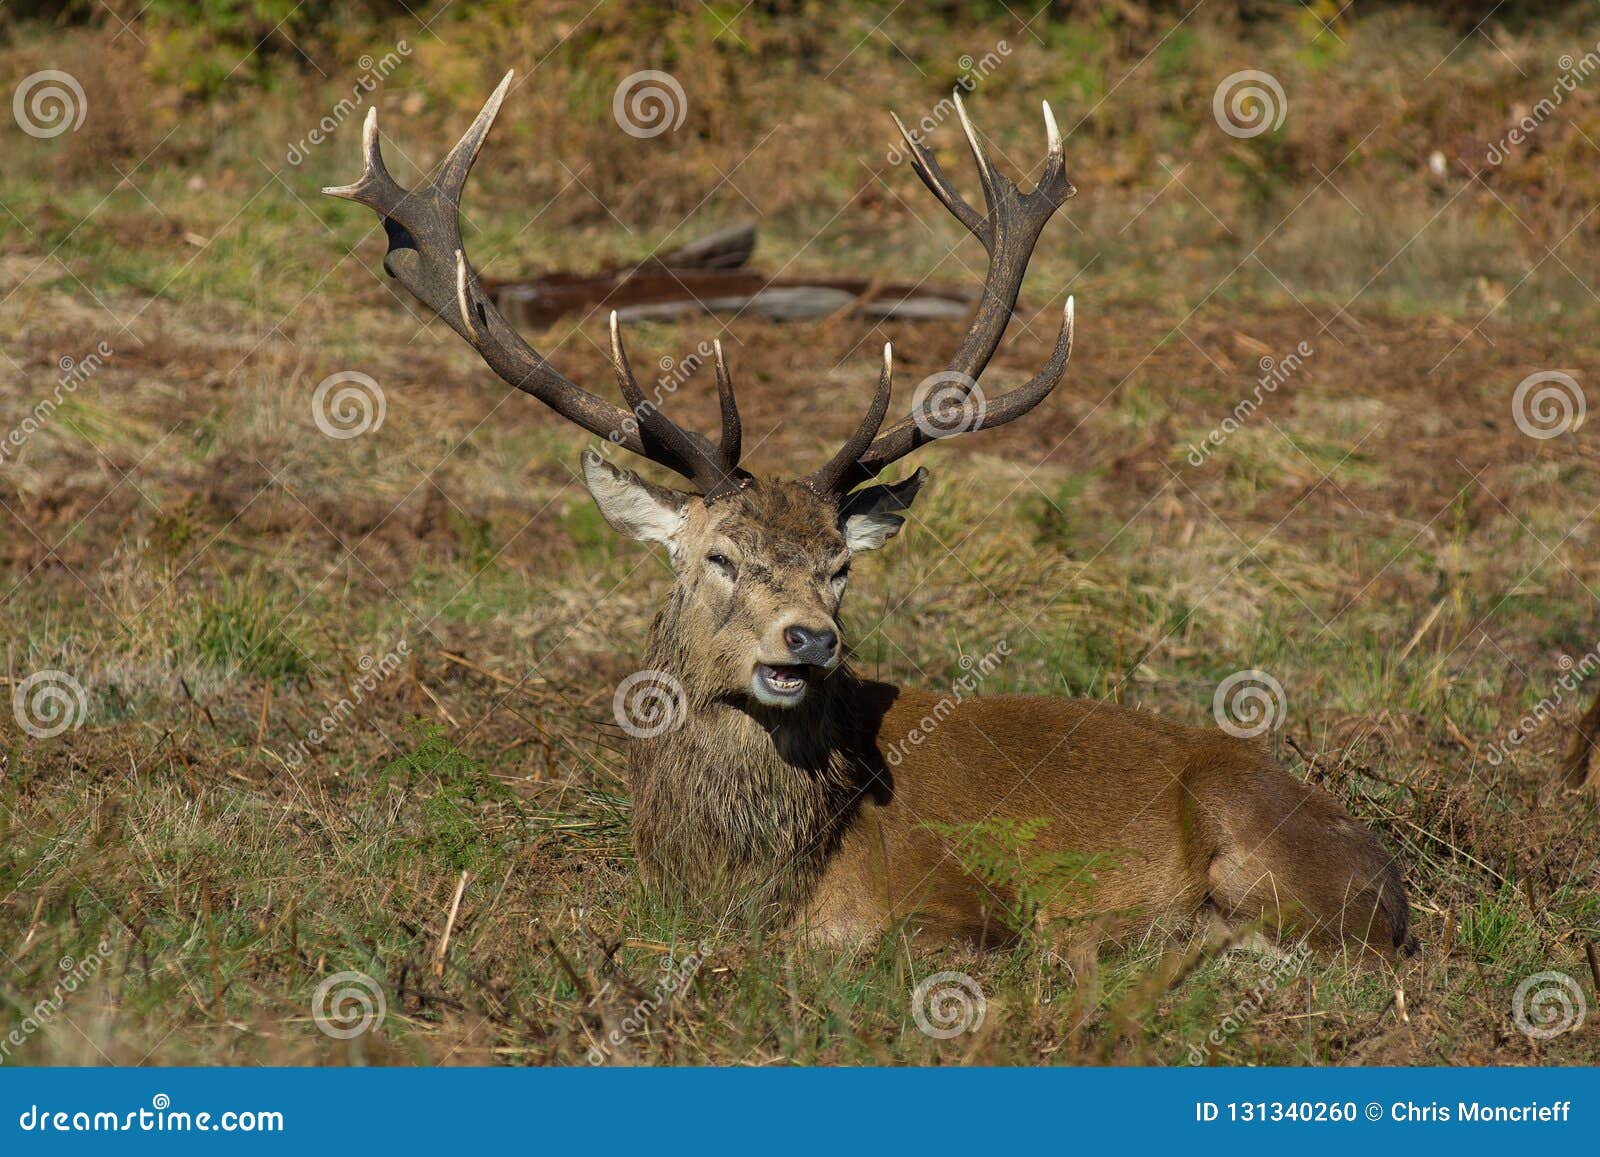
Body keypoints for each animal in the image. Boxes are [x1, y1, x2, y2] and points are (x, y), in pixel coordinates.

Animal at [326, 71, 1411, 962]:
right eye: (720, 556)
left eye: (839, 565)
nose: (810, 637)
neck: (748, 877)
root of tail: (1393, 880)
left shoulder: (959, 904)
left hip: (1260, 842)